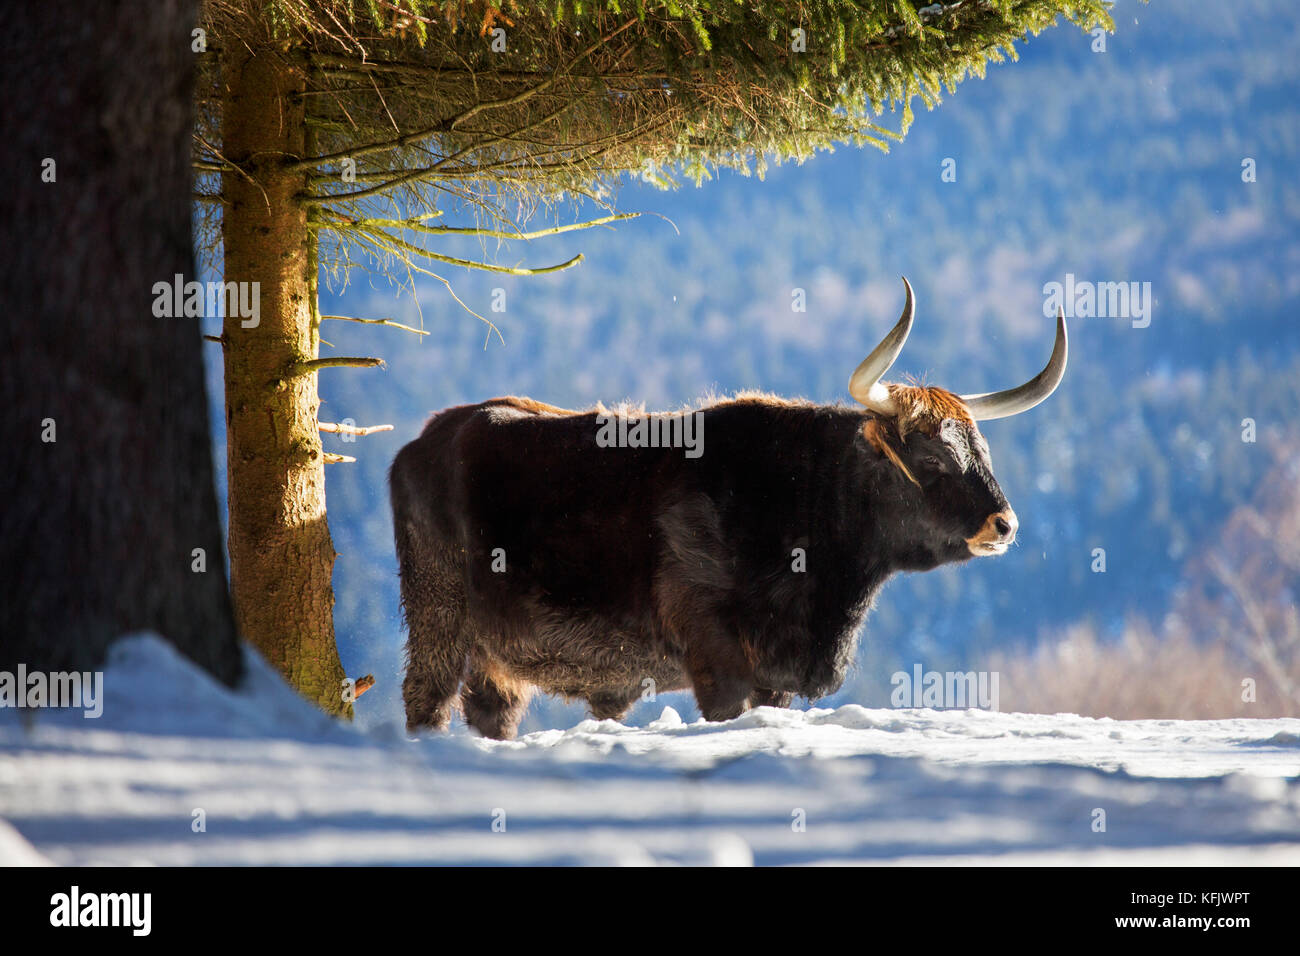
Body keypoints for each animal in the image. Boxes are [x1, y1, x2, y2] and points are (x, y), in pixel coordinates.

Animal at [390, 278, 1067, 738]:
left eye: (980, 449)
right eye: (930, 456)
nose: (1004, 524)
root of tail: (432, 436)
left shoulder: (776, 681)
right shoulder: (718, 662)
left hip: (492, 658)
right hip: (438, 622)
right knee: (426, 699)